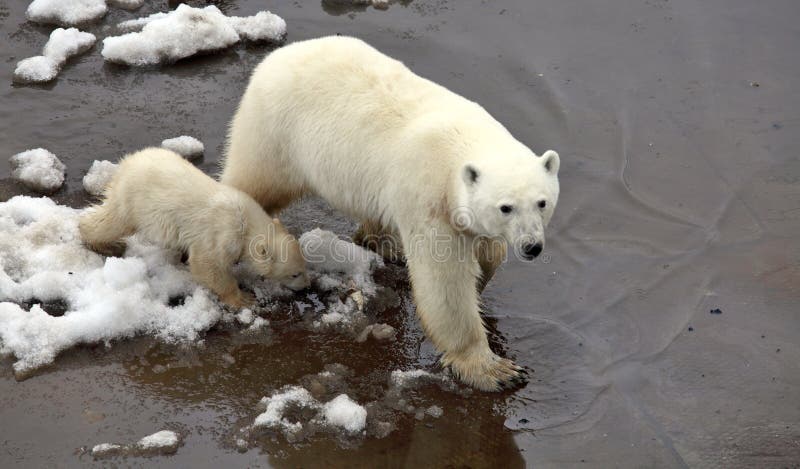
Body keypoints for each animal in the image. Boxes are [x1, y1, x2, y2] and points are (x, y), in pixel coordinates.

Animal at [79, 147, 310, 308]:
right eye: (294, 274)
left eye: (304, 268)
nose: (307, 285)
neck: (245, 218)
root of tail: (127, 162)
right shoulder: (222, 232)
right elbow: (206, 264)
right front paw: (243, 299)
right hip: (134, 200)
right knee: (112, 222)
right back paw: (104, 242)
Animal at [220, 36, 560, 390]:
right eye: (506, 206)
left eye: (542, 202)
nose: (532, 246)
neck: (459, 143)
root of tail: (280, 54)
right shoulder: (428, 196)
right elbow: (444, 282)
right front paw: (494, 370)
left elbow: (486, 251)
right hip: (276, 131)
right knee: (254, 181)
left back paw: (384, 243)